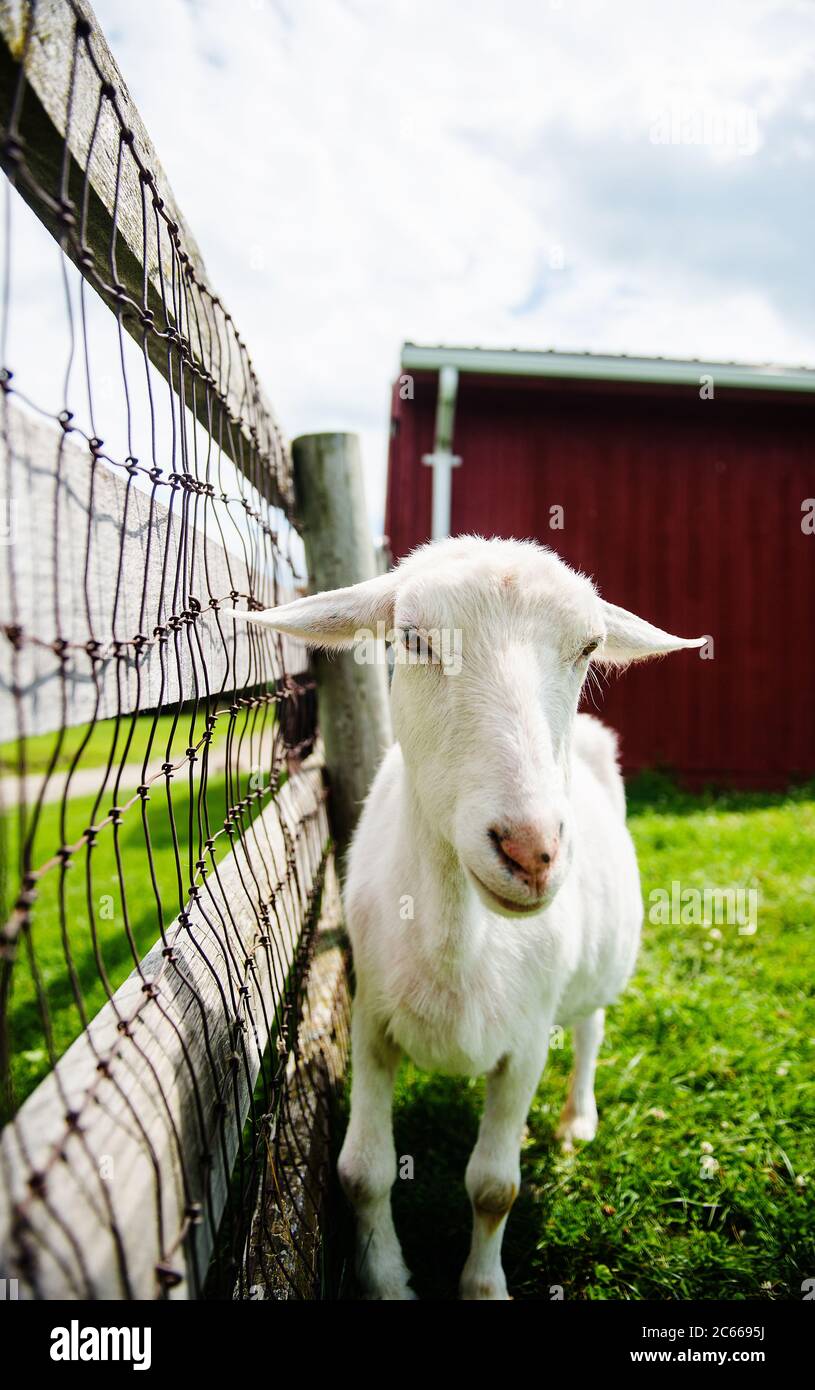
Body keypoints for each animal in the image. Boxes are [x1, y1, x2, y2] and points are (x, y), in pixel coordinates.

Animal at [233, 536, 704, 1300]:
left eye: (588, 647)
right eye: (414, 639)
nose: (531, 850)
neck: (458, 947)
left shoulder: (526, 1041)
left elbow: (492, 1188)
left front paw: (483, 1286)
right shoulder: (370, 1016)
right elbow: (361, 1172)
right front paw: (387, 1280)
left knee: (591, 1029)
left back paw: (576, 1121)